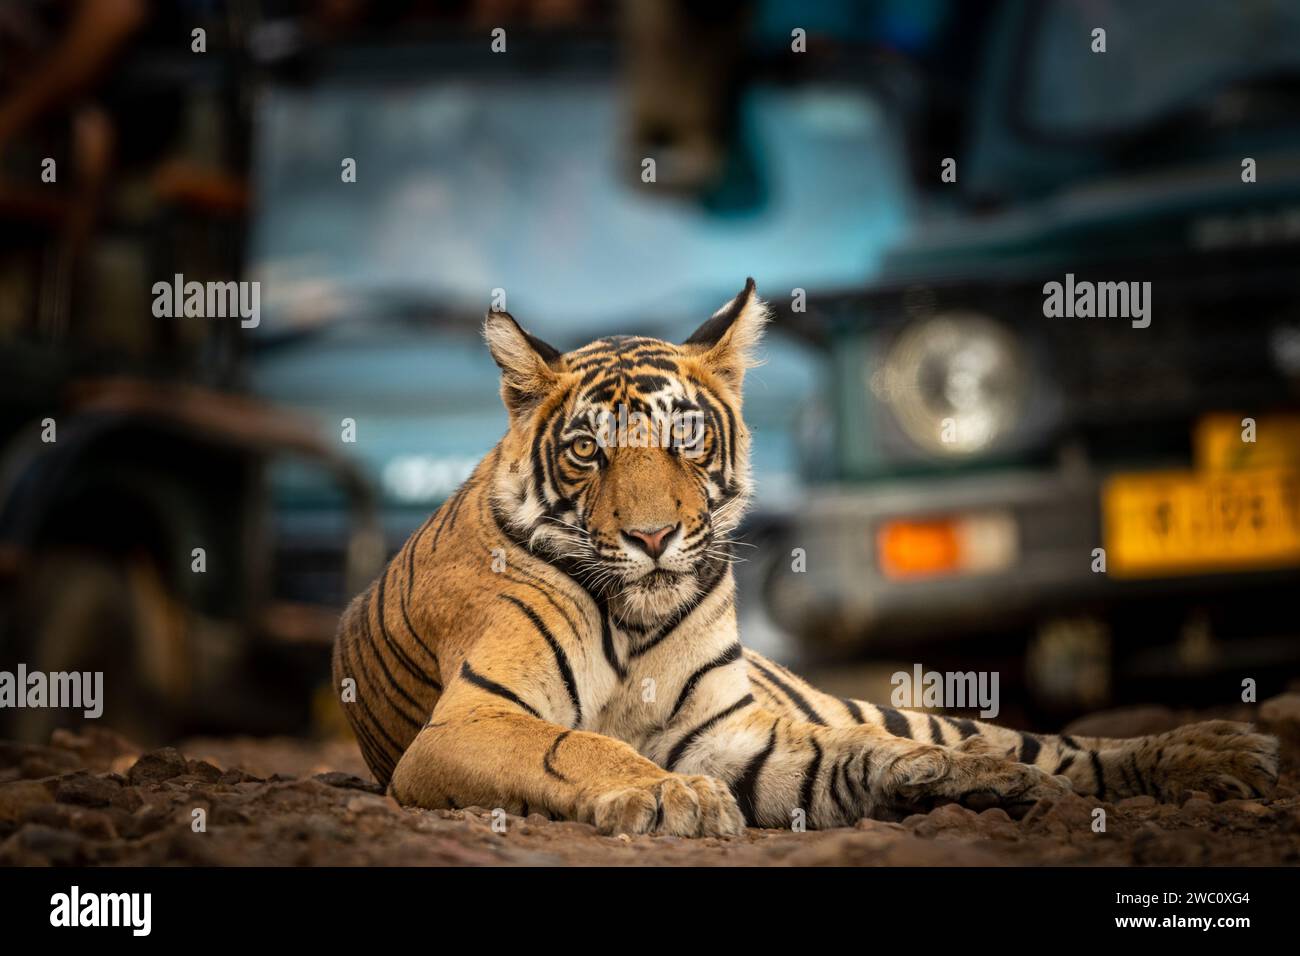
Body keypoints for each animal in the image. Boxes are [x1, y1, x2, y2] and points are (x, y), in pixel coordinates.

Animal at [332, 279, 1279, 836]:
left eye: (683, 439)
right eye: (588, 453)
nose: (652, 537)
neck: (636, 622)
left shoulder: (727, 733)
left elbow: (834, 754)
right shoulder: (468, 722)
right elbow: (579, 746)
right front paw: (672, 796)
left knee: (1042, 745)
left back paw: (1217, 754)